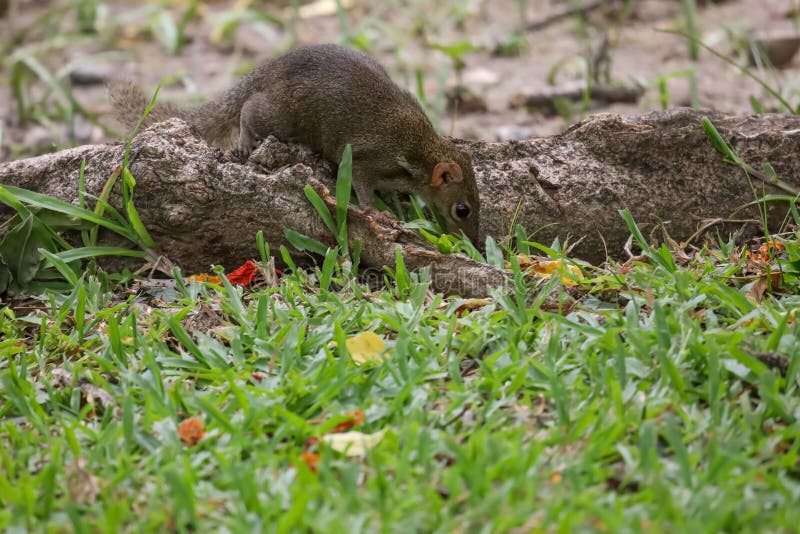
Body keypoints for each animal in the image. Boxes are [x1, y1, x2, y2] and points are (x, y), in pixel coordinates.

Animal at [109, 44, 481, 243]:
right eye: (462, 209)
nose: (474, 242)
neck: (420, 149)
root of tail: (269, 68)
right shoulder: (369, 160)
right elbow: (363, 189)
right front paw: (378, 212)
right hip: (281, 116)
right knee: (248, 109)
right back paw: (244, 140)